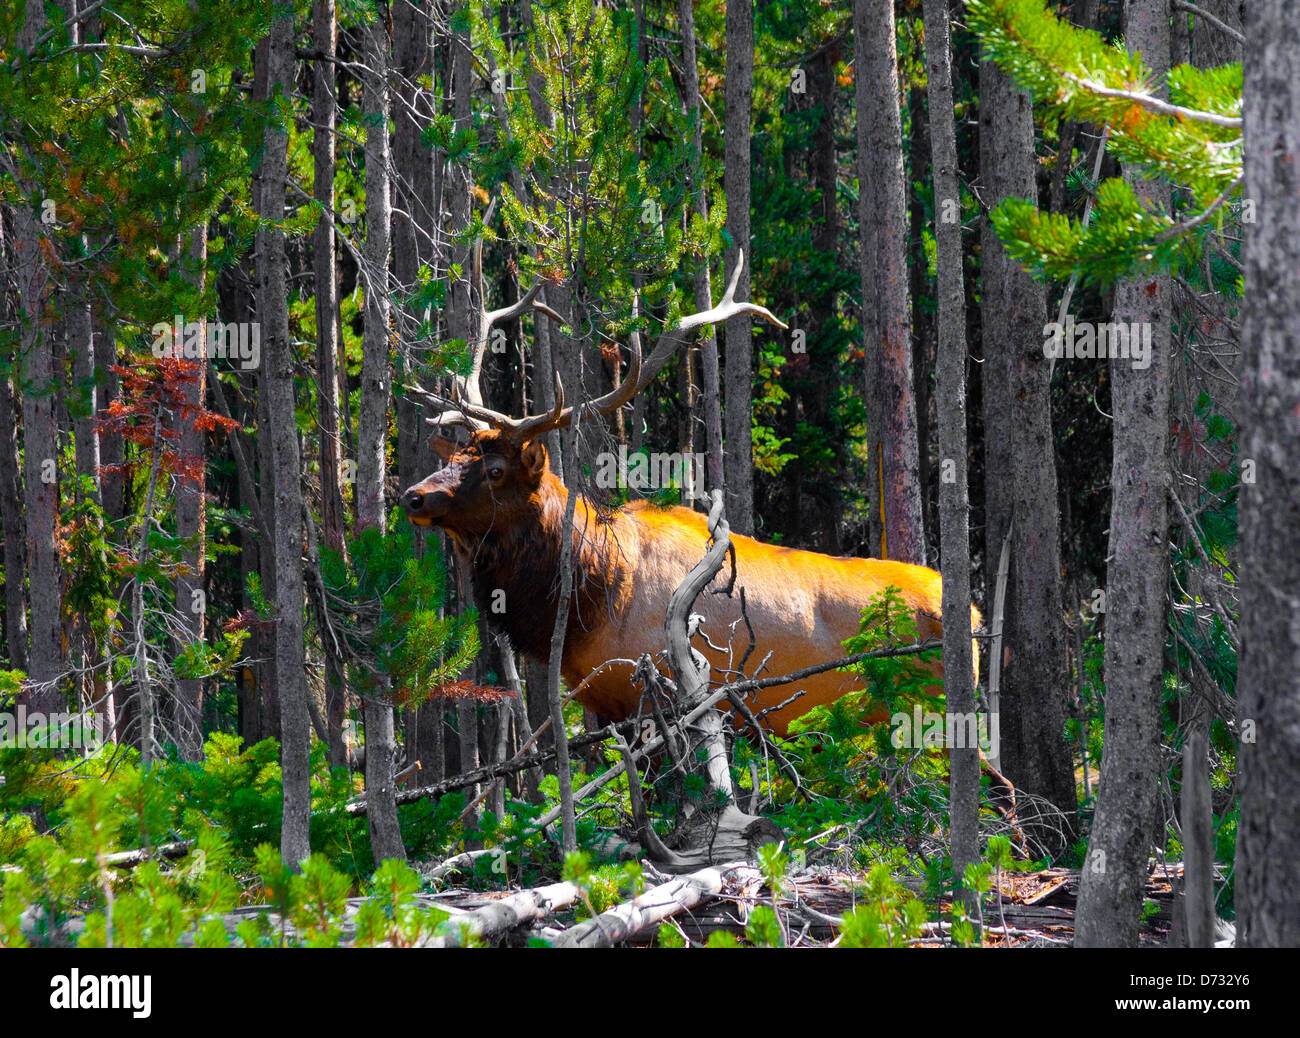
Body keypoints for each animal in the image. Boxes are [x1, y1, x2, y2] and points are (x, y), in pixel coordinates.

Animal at [401, 252, 984, 745]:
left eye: (495, 470)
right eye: (456, 455)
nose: (413, 497)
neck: (592, 594)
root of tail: (975, 618)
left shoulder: (655, 700)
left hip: (935, 715)